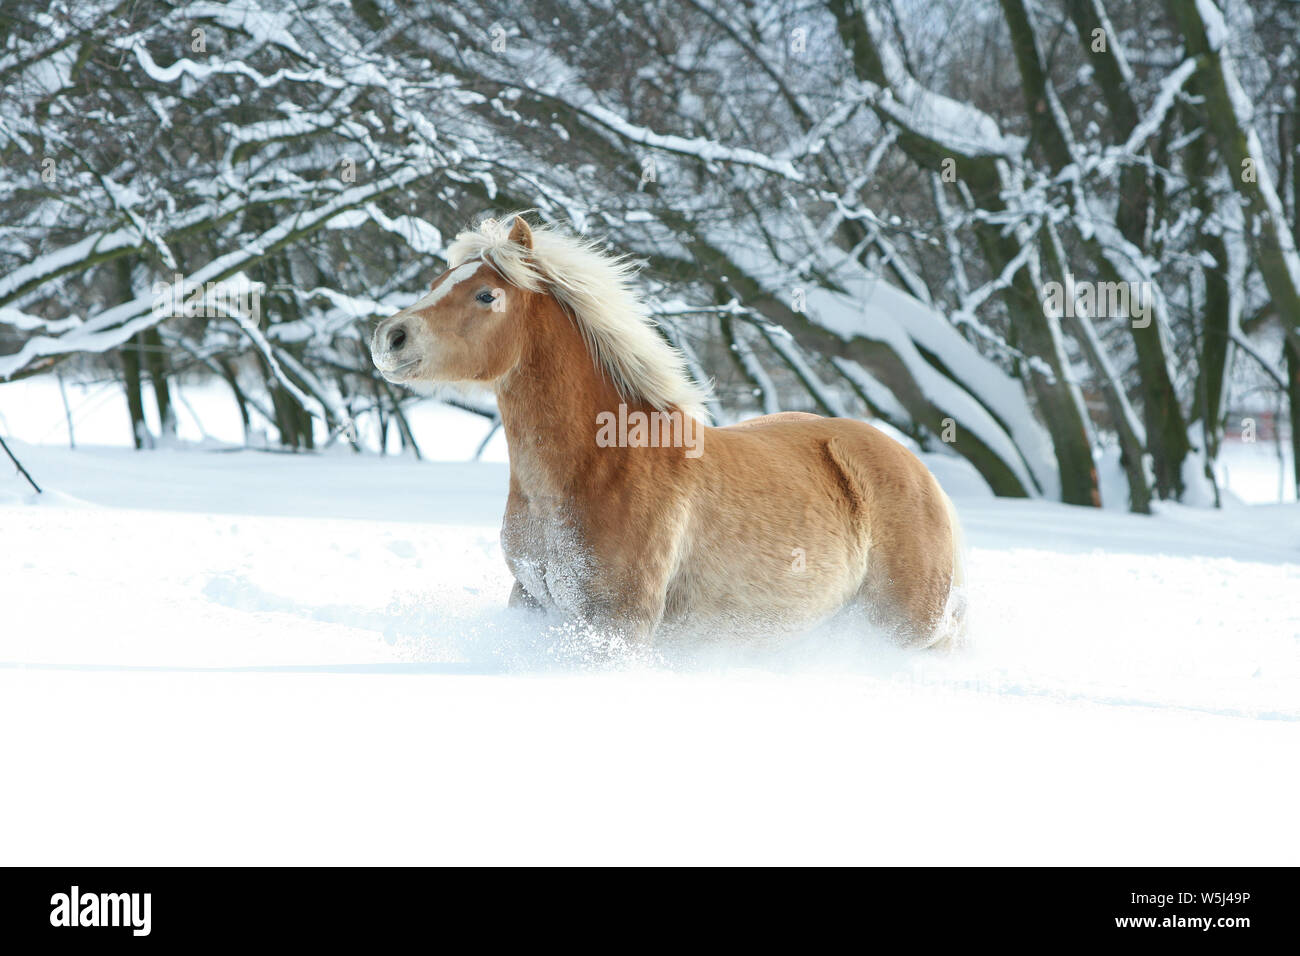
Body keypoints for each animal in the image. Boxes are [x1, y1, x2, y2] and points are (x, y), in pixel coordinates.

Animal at [371, 214, 966, 649]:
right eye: (435, 283)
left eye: (486, 295)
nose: (388, 337)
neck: (599, 465)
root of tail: (920, 473)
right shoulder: (534, 603)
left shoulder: (619, 624)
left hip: (901, 628)